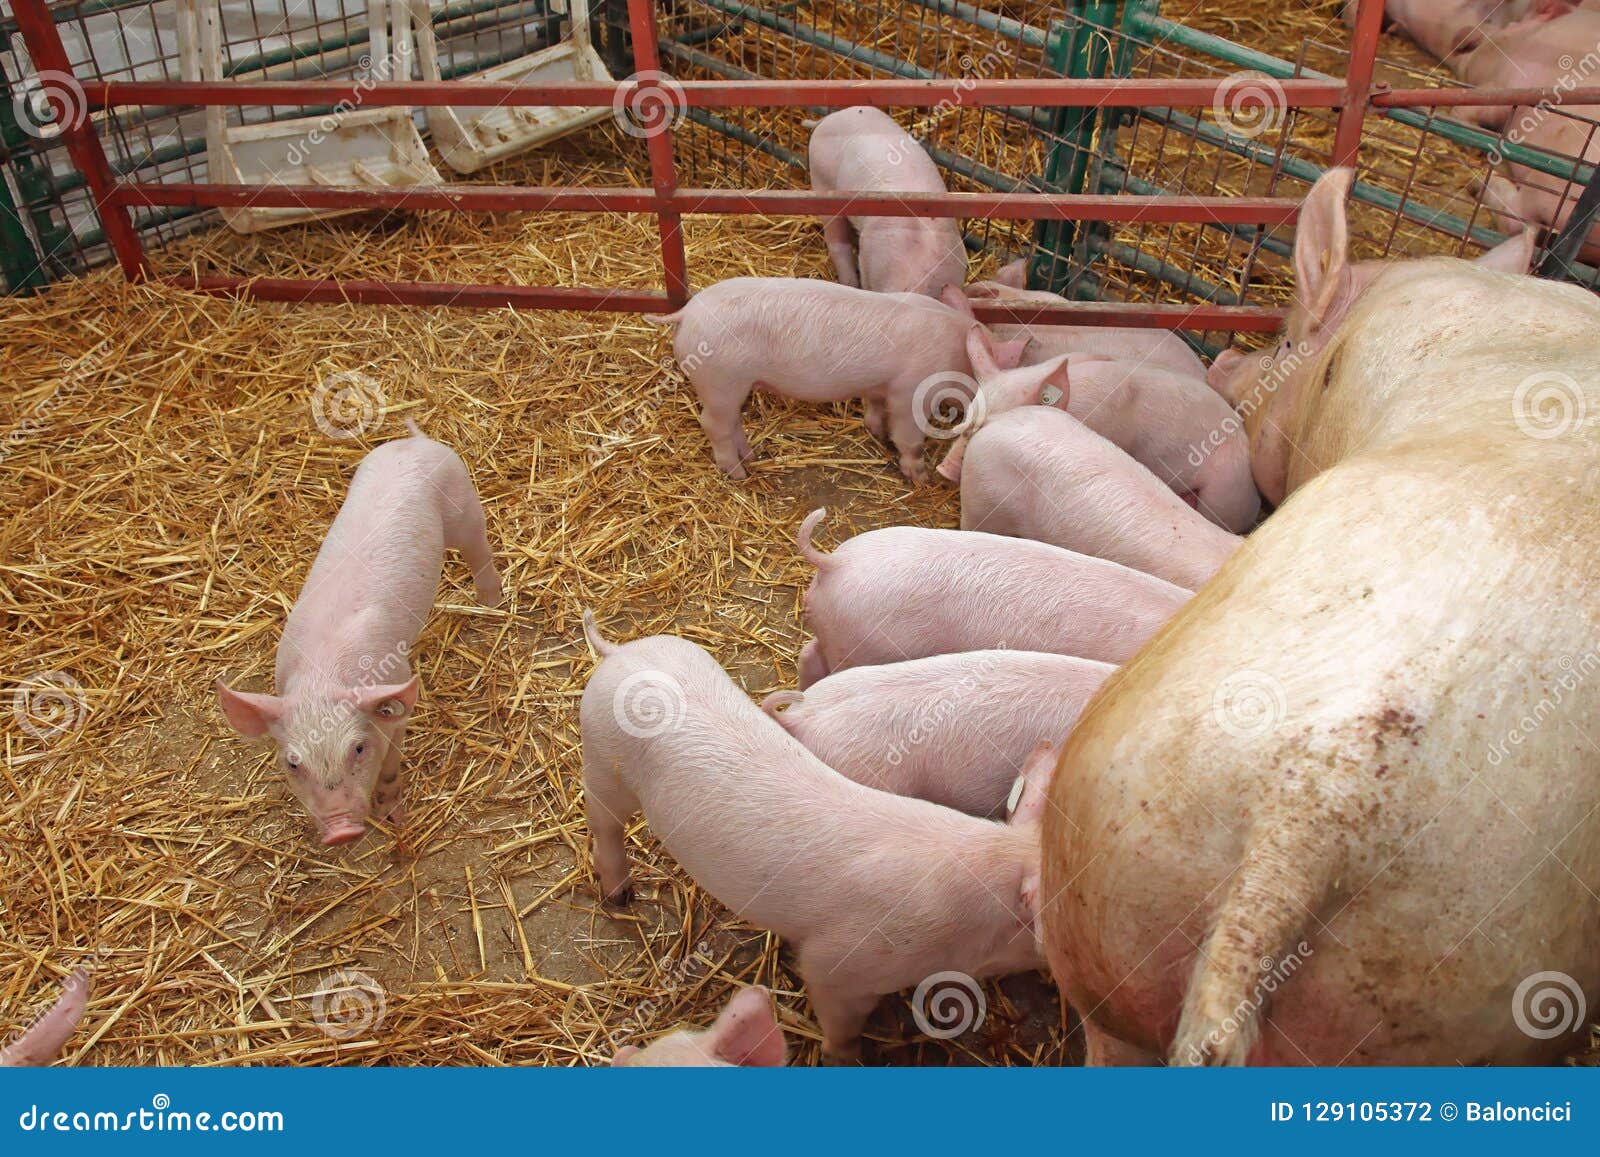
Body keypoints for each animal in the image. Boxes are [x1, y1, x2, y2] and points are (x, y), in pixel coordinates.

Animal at [215, 420, 502, 846]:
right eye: (293, 764)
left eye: (359, 748)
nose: (341, 832)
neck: (323, 676)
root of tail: (415, 441)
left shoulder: (396, 690)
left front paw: (393, 815)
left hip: (462, 505)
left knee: (478, 549)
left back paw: (492, 605)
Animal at [647, 277, 1044, 483]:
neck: (956, 350)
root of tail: (687, 313)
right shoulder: (910, 390)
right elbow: (909, 436)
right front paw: (919, 477)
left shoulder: (881, 386)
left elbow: (875, 408)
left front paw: (878, 433)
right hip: (721, 380)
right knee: (712, 423)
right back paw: (738, 474)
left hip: (732, 385)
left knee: (732, 423)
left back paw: (753, 456)